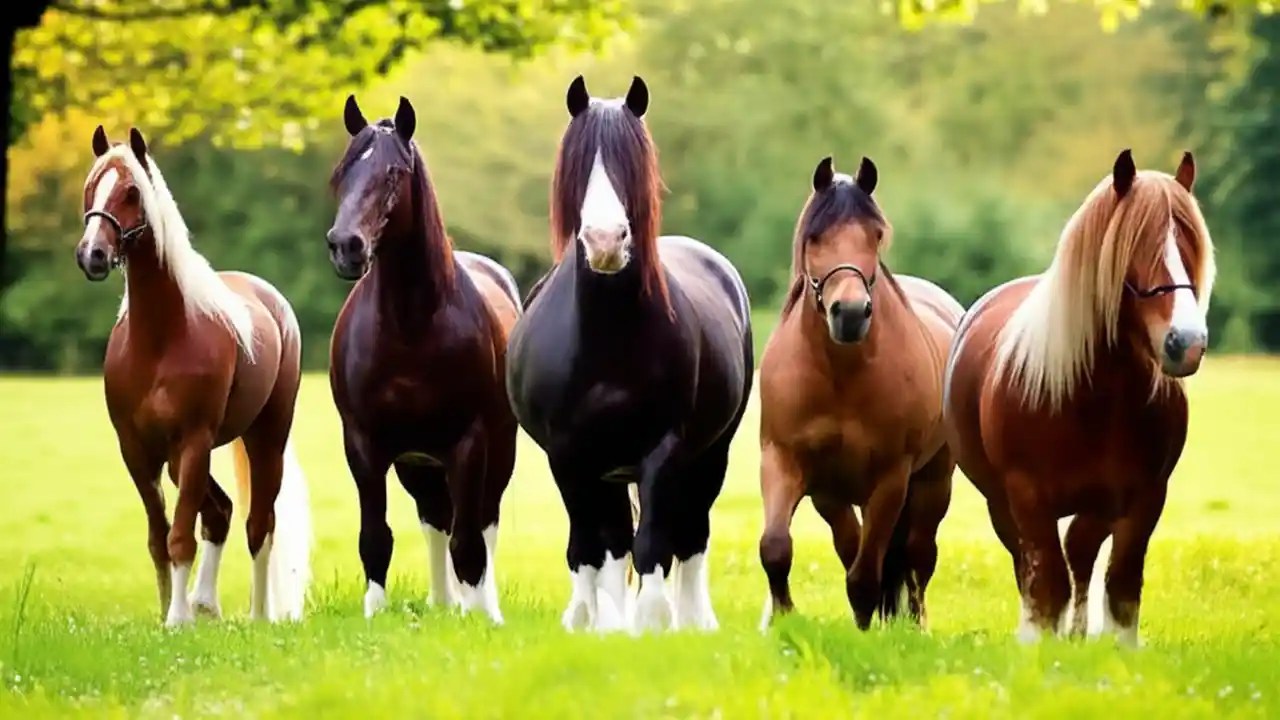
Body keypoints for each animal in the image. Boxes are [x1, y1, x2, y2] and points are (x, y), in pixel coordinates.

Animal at [73, 126, 312, 627]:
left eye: (131, 192)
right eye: (91, 186)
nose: (93, 255)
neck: (160, 338)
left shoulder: (194, 441)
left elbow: (180, 535)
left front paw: (177, 619)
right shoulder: (137, 450)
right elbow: (158, 538)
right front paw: (171, 609)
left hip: (265, 437)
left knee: (259, 524)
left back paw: (258, 614)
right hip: (177, 461)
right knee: (220, 512)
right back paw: (204, 602)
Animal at [326, 95, 522, 623]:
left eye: (393, 173)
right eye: (342, 171)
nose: (345, 246)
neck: (410, 328)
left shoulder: (469, 442)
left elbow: (471, 542)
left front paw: (479, 615)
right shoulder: (364, 445)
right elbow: (376, 538)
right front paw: (375, 612)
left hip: (497, 450)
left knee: (484, 523)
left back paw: (481, 605)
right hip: (418, 462)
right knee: (436, 518)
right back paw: (443, 601)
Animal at [506, 75, 754, 634]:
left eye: (630, 162)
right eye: (579, 162)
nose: (605, 240)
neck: (608, 342)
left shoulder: (662, 451)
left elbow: (652, 546)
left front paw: (650, 623)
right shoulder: (569, 456)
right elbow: (592, 549)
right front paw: (601, 625)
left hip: (712, 452)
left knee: (692, 534)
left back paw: (694, 619)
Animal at [757, 155, 964, 631]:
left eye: (876, 235)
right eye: (815, 237)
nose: (850, 314)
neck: (840, 376)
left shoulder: (890, 478)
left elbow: (868, 571)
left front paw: (867, 628)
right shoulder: (792, 466)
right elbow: (778, 547)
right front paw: (784, 616)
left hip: (933, 482)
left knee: (918, 557)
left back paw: (914, 624)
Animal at [942, 149, 1216, 646]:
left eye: (1190, 244)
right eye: (1136, 247)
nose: (1186, 342)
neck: (1095, 400)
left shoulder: (1143, 497)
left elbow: (1120, 583)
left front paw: (1117, 647)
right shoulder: (1027, 497)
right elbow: (1046, 582)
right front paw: (1037, 642)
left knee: (1081, 552)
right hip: (1001, 504)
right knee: (1034, 564)